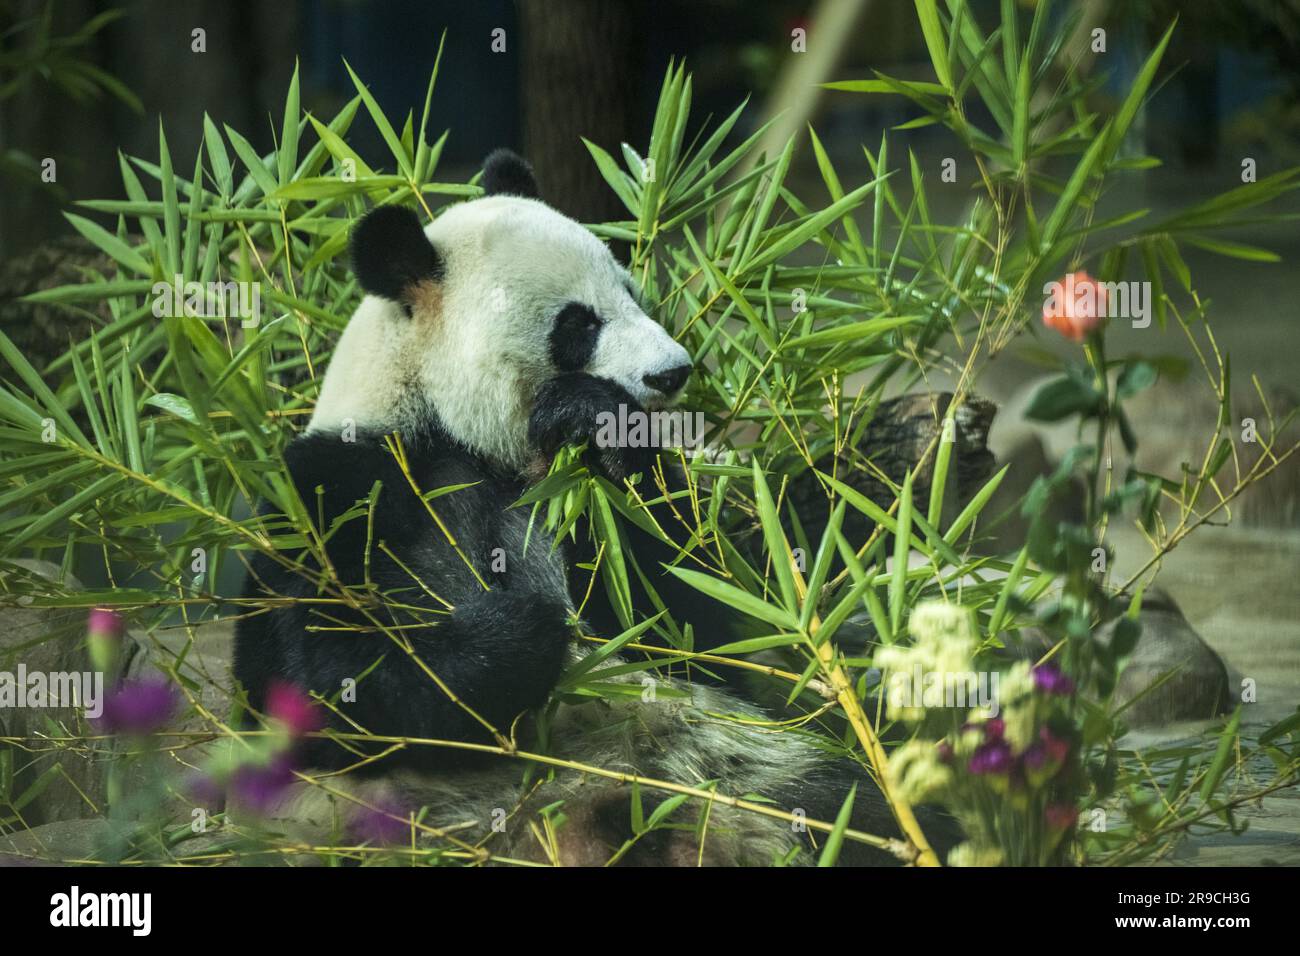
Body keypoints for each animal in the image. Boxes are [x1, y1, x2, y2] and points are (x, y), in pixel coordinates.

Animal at [231, 149, 957, 865]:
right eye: (578, 324)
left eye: (633, 294)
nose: (673, 372)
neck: (450, 426)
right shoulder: (344, 490)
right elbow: (326, 680)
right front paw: (524, 626)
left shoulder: (583, 513)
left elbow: (693, 621)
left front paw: (603, 430)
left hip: (746, 768)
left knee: (844, 798)